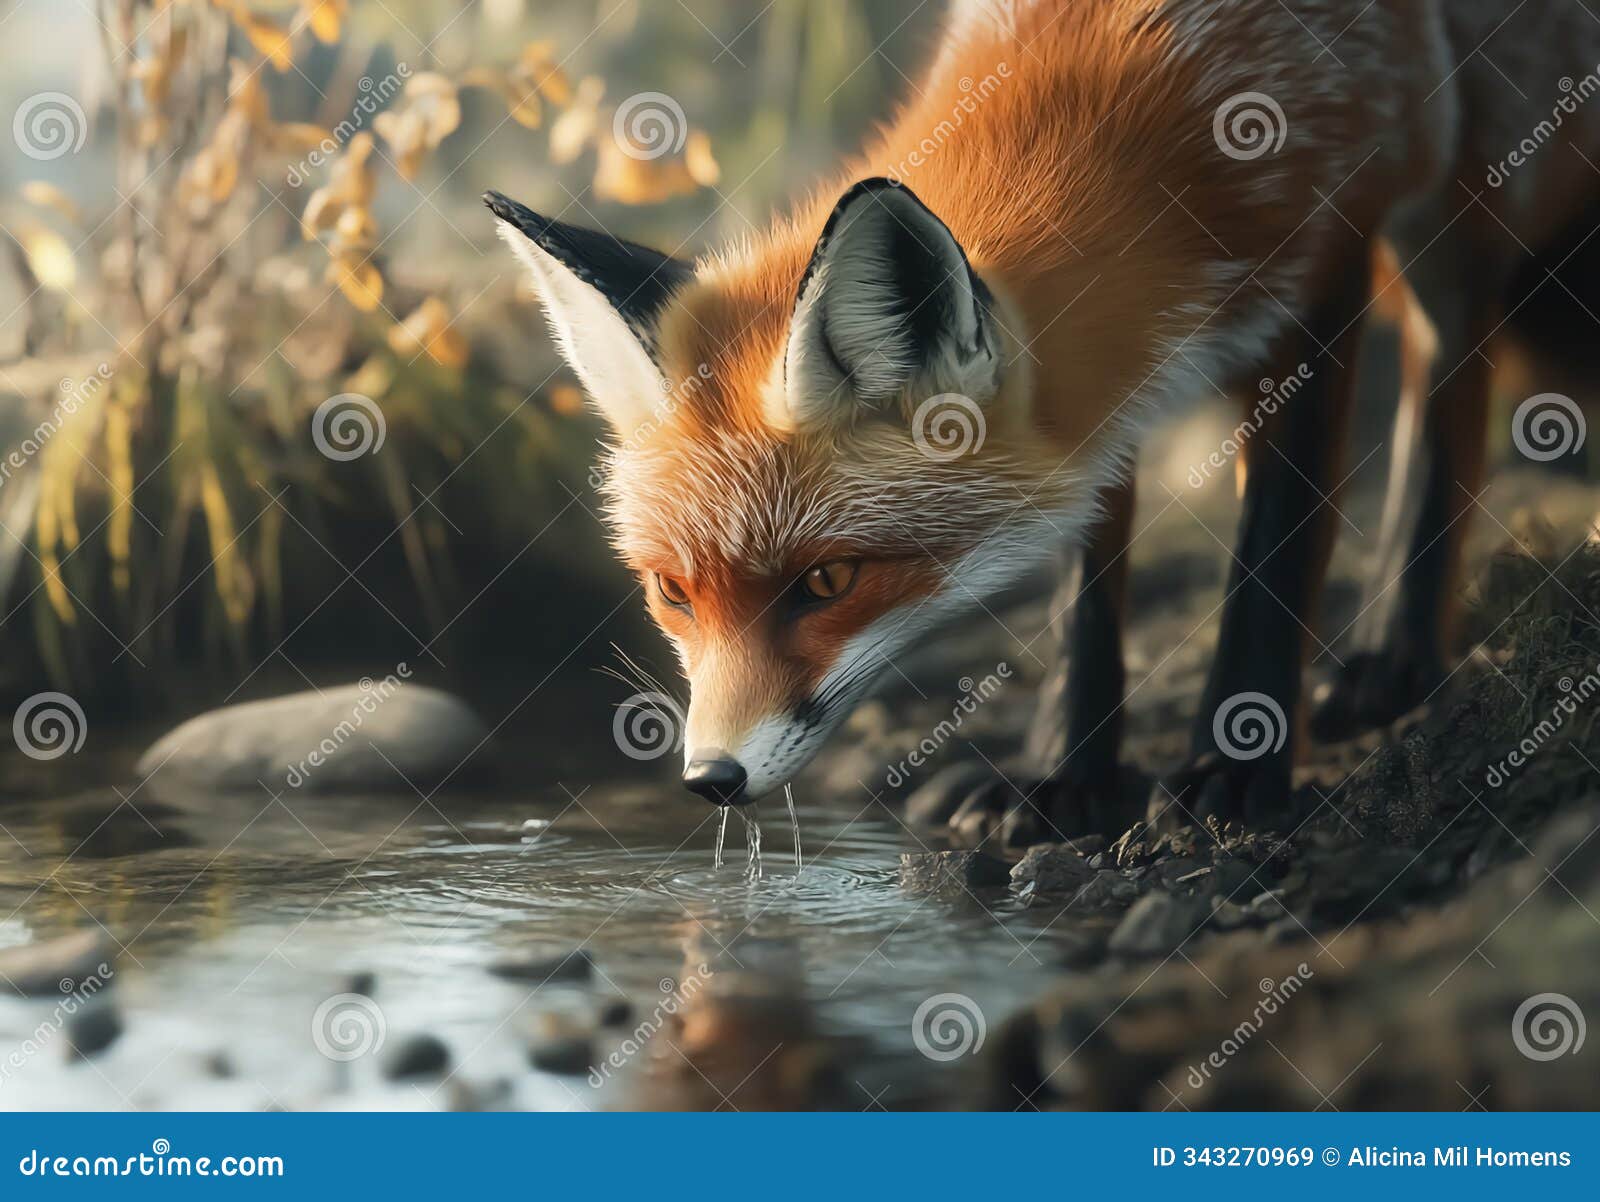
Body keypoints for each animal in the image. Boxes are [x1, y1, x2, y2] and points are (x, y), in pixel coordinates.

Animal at [488, 0, 1600, 844]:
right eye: (674, 594)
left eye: (830, 581)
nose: (710, 780)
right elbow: (1084, 591)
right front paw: (1065, 777)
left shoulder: (1332, 249)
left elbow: (1274, 555)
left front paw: (1235, 765)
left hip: (1472, 155)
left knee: (1449, 368)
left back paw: (1396, 658)